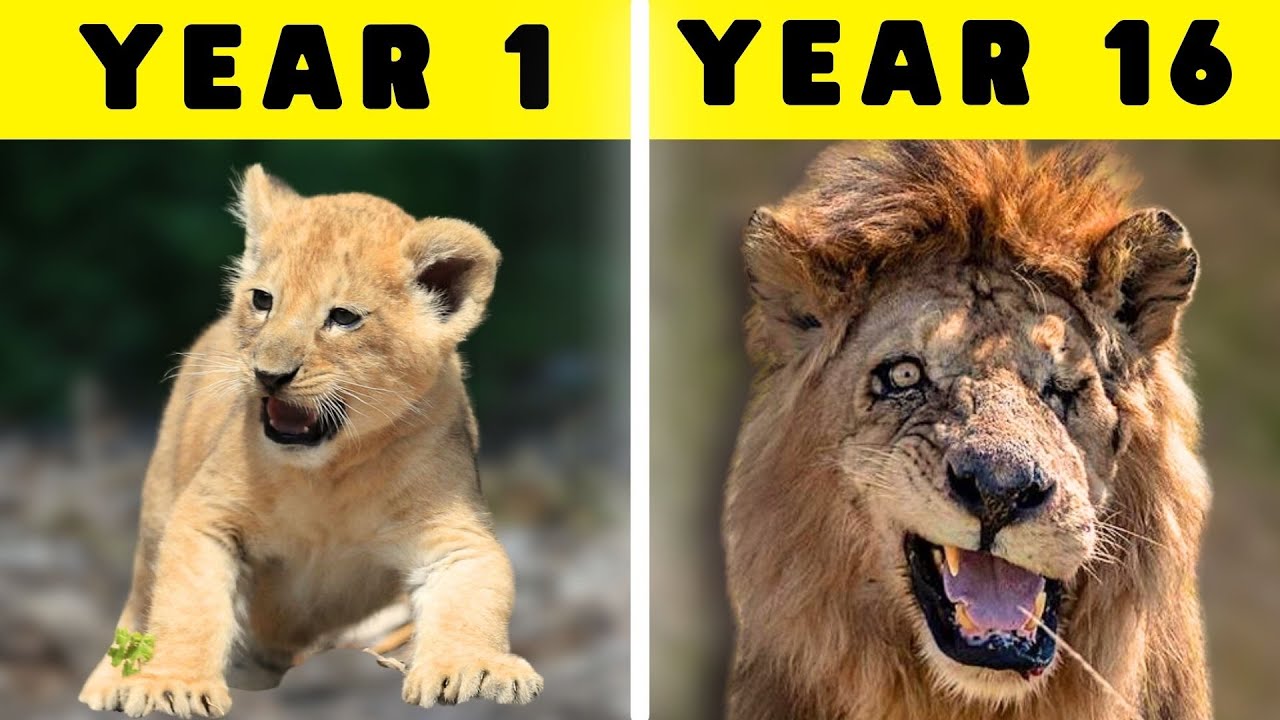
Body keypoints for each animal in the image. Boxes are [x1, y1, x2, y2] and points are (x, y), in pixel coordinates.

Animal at [77, 165, 542, 717]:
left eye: (343, 317)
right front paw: (174, 683)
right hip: (156, 508)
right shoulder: (206, 514)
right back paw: (111, 680)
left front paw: (476, 669)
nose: (269, 374)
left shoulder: (457, 534)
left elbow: (475, 597)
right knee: (141, 596)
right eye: (263, 300)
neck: (328, 474)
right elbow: (188, 604)